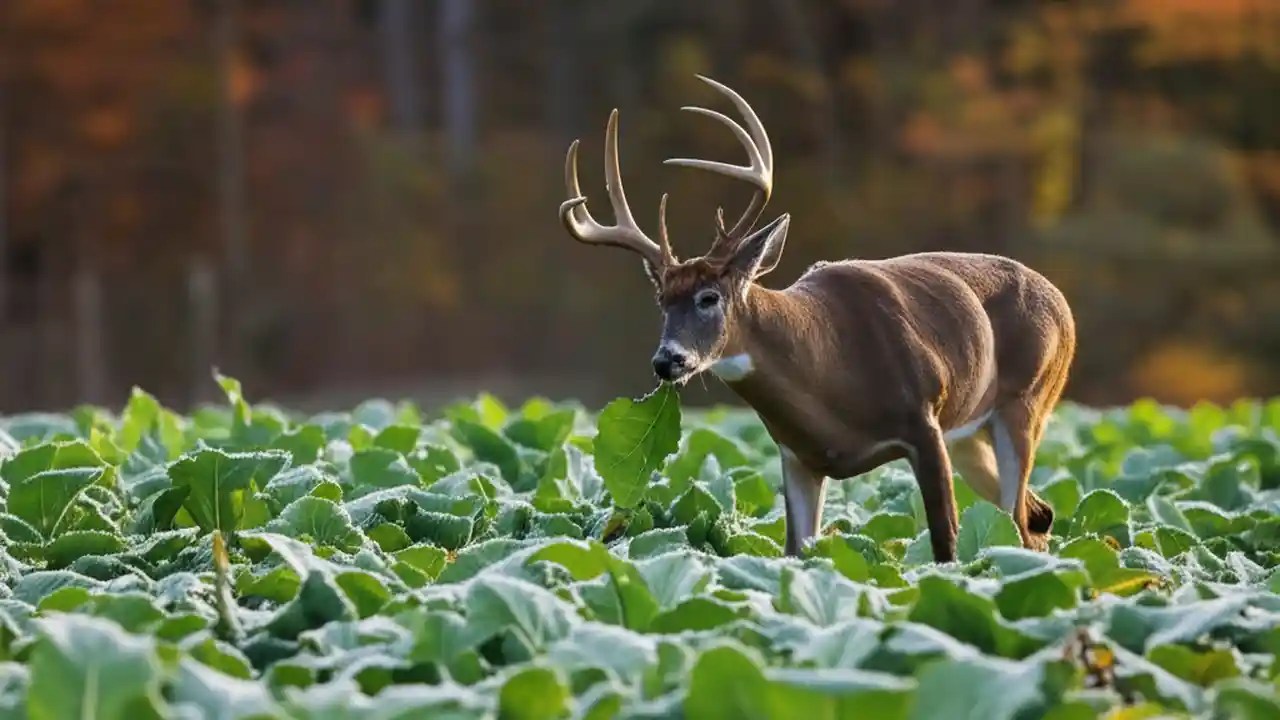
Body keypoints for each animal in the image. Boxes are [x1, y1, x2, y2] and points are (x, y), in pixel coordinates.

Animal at [558, 75, 1076, 563]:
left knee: (1020, 518)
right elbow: (794, 550)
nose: (667, 361)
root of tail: (1062, 303)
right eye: (662, 300)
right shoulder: (796, 456)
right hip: (970, 433)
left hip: (1027, 400)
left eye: (709, 297)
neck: (827, 376)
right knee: (1036, 516)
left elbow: (946, 544)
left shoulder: (923, 422)